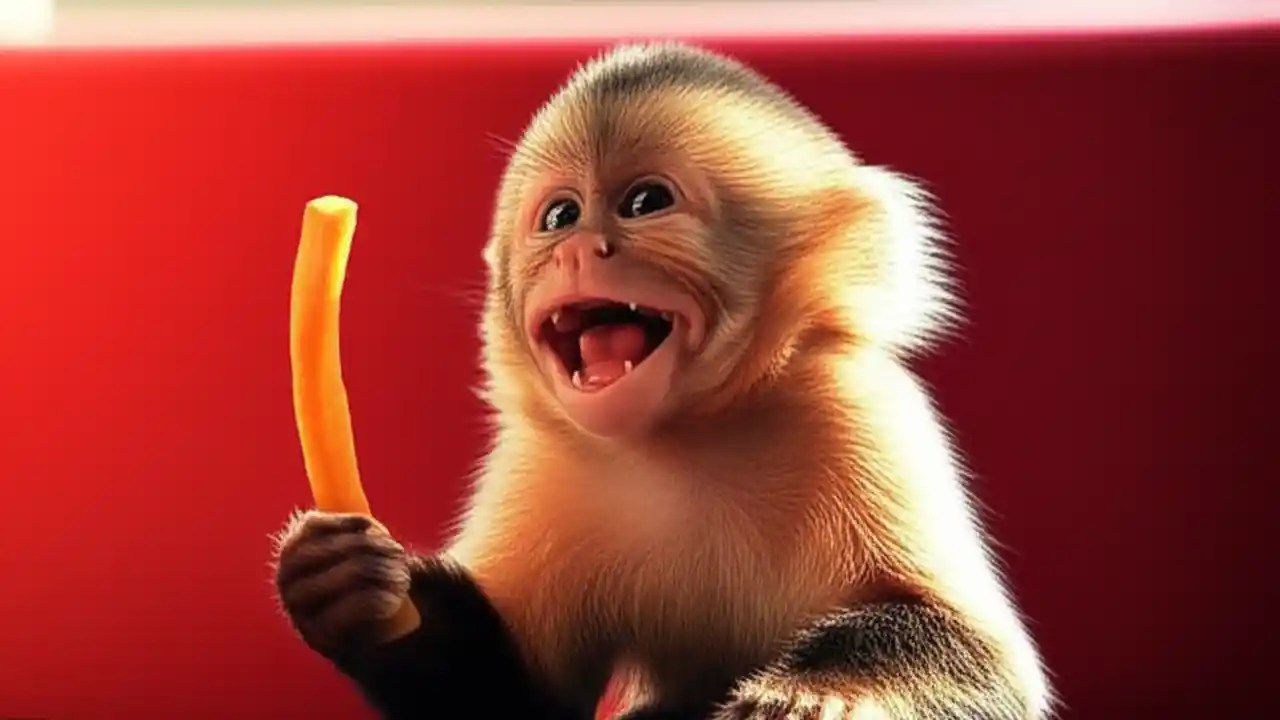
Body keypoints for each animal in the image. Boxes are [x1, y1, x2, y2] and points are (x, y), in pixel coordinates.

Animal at [272, 42, 1052, 720]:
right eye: (560, 215)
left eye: (646, 202)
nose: (580, 248)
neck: (682, 436)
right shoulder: (542, 463)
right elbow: (524, 703)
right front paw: (342, 590)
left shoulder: (855, 413)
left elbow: (986, 665)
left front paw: (816, 691)